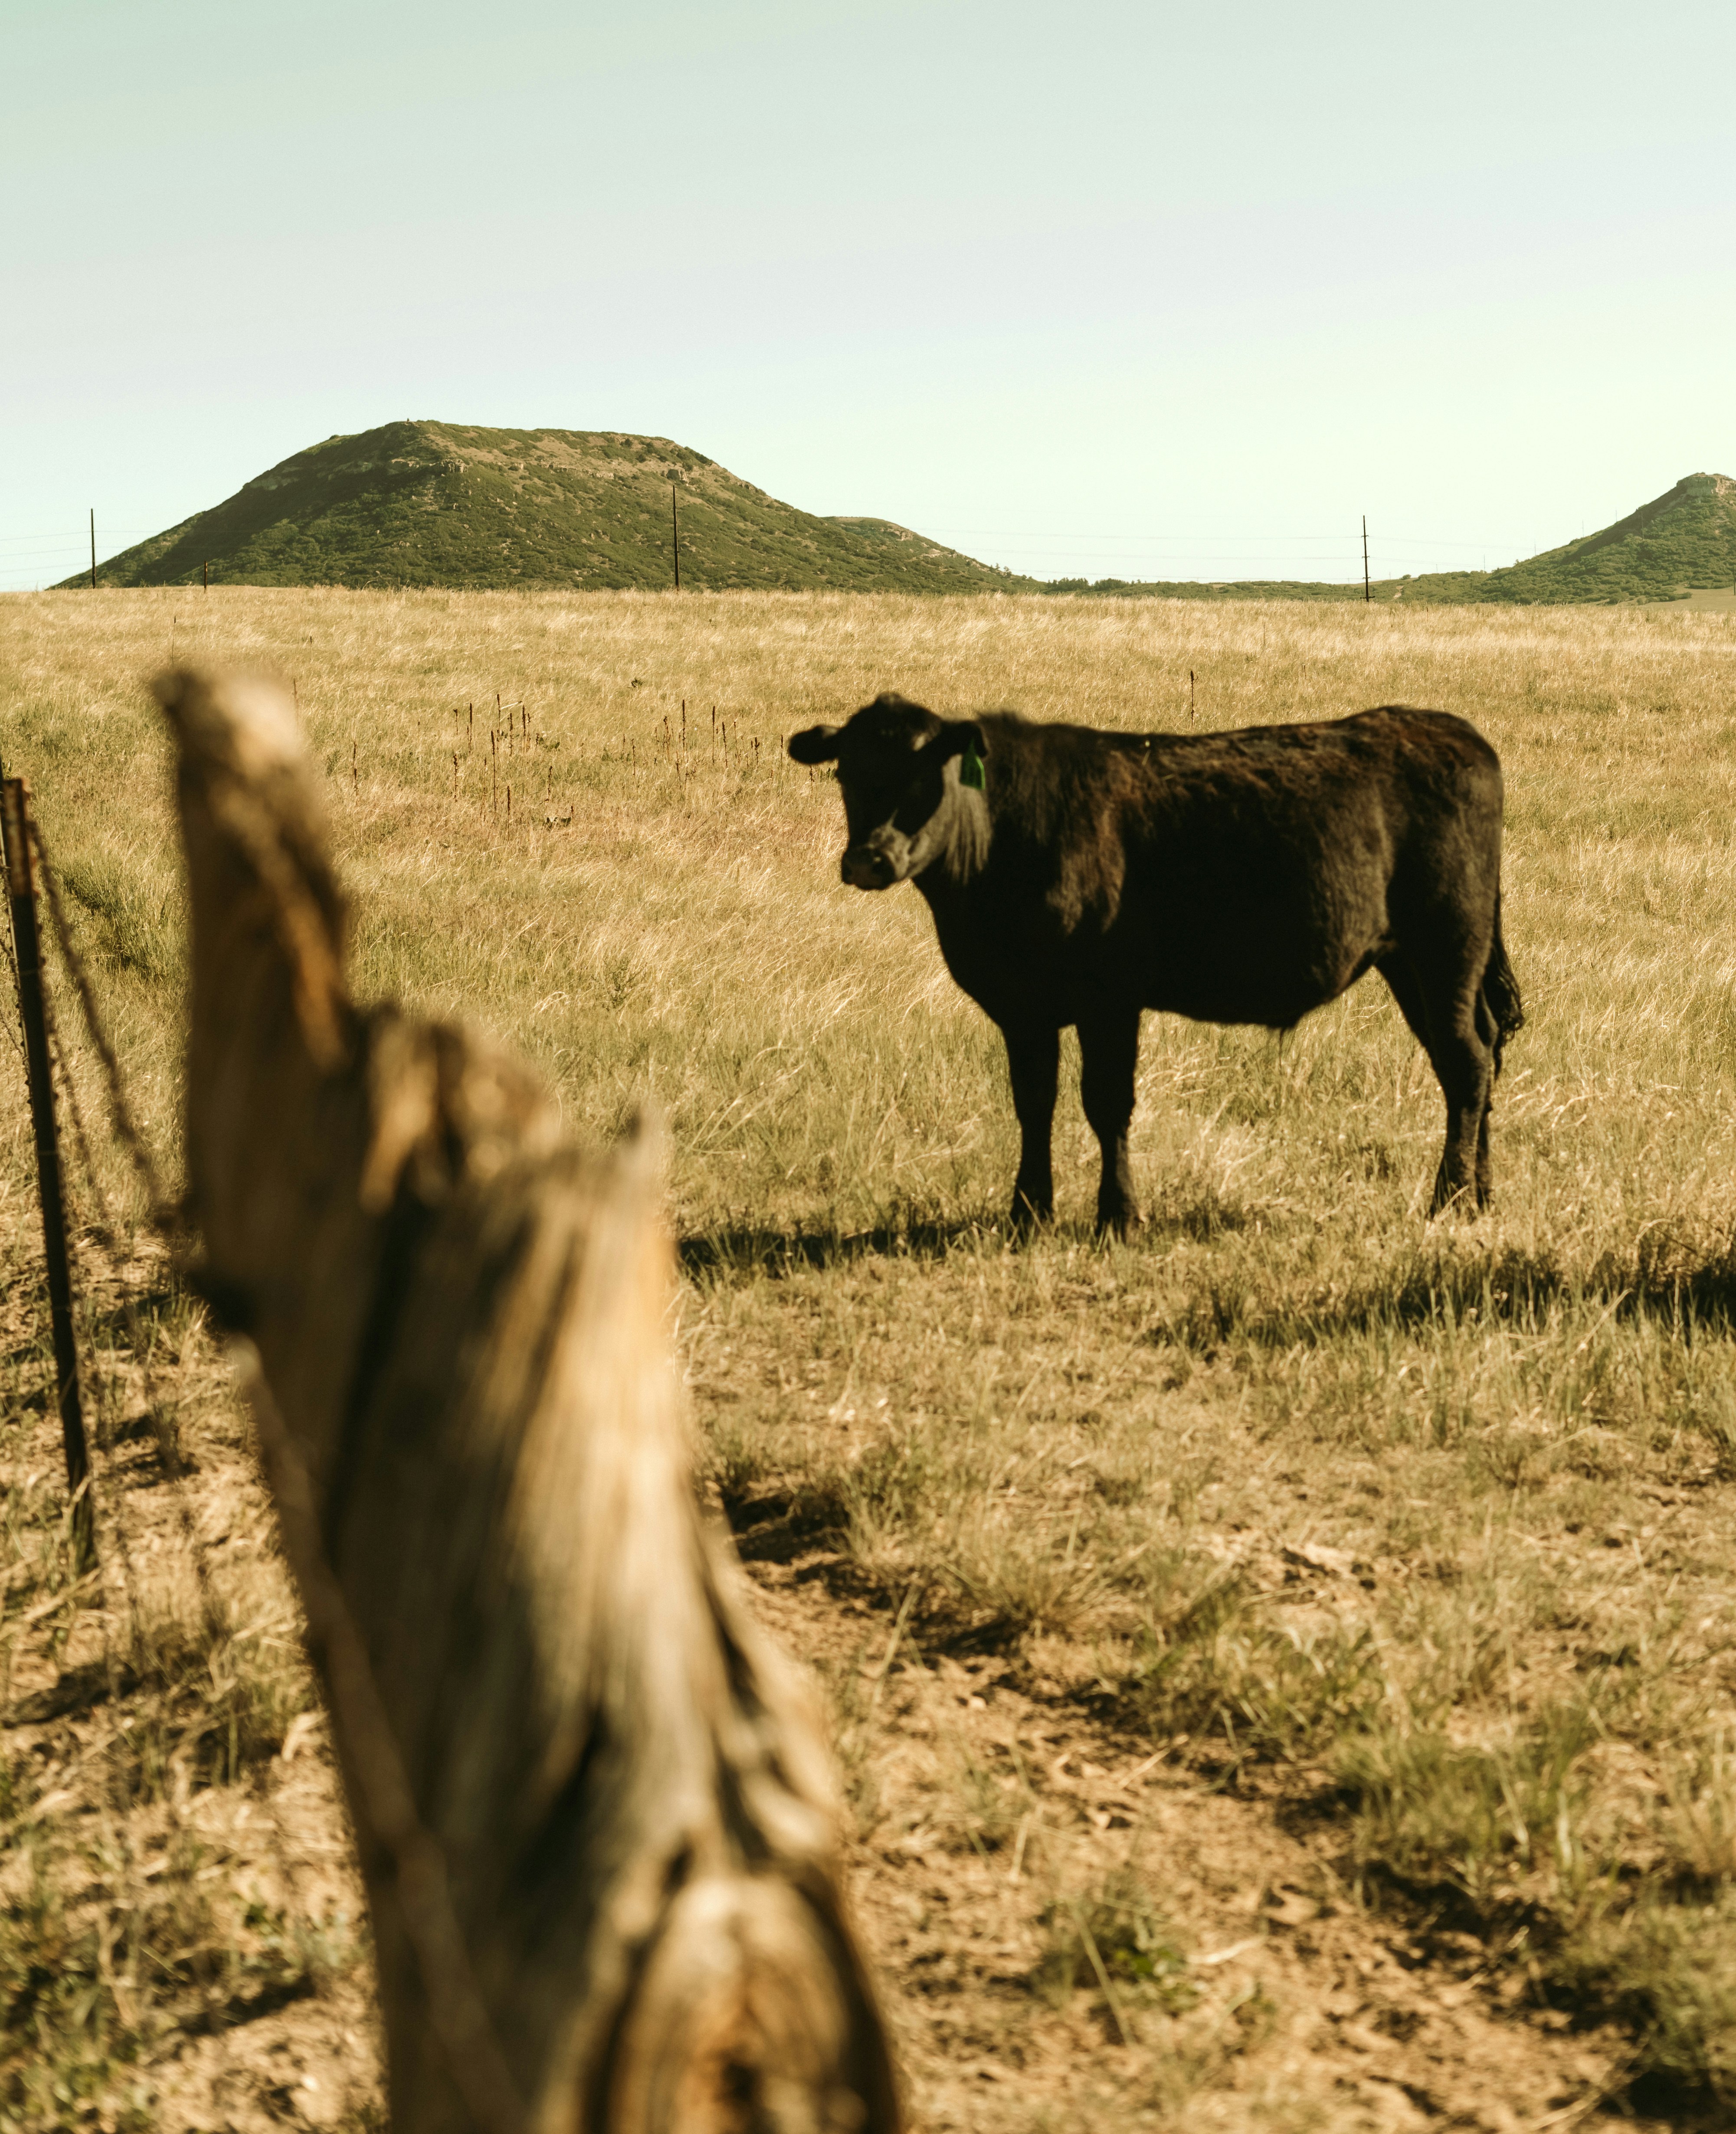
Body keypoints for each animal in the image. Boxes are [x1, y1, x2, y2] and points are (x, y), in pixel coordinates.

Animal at [788, 693, 1523, 1235]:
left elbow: (1106, 1103)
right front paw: (1027, 1213)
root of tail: (1449, 729)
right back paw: (1480, 1193)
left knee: (1465, 1061)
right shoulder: (1022, 1007)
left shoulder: (1107, 997)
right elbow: (1033, 1103)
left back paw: (1448, 1198)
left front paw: (1118, 1216)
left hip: (1447, 943)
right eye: (846, 774)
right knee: (1474, 1056)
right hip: (1411, 962)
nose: (869, 858)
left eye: (923, 779)